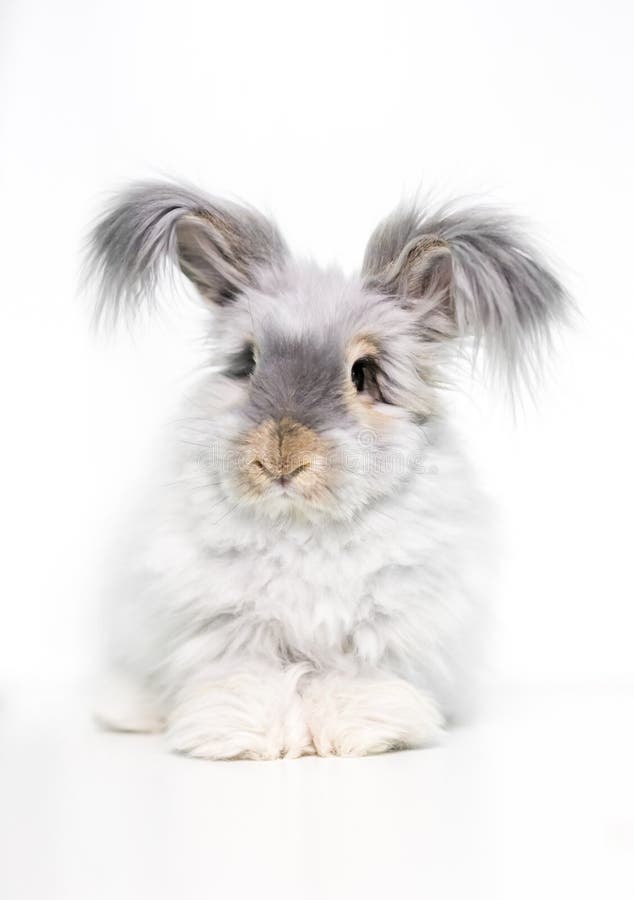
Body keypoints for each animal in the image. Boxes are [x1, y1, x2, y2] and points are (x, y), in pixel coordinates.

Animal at [87, 181, 568, 759]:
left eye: (363, 373)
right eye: (246, 363)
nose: (280, 456)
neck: (303, 526)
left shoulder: (378, 630)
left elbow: (355, 678)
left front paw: (357, 731)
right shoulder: (233, 626)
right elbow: (249, 678)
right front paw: (252, 736)